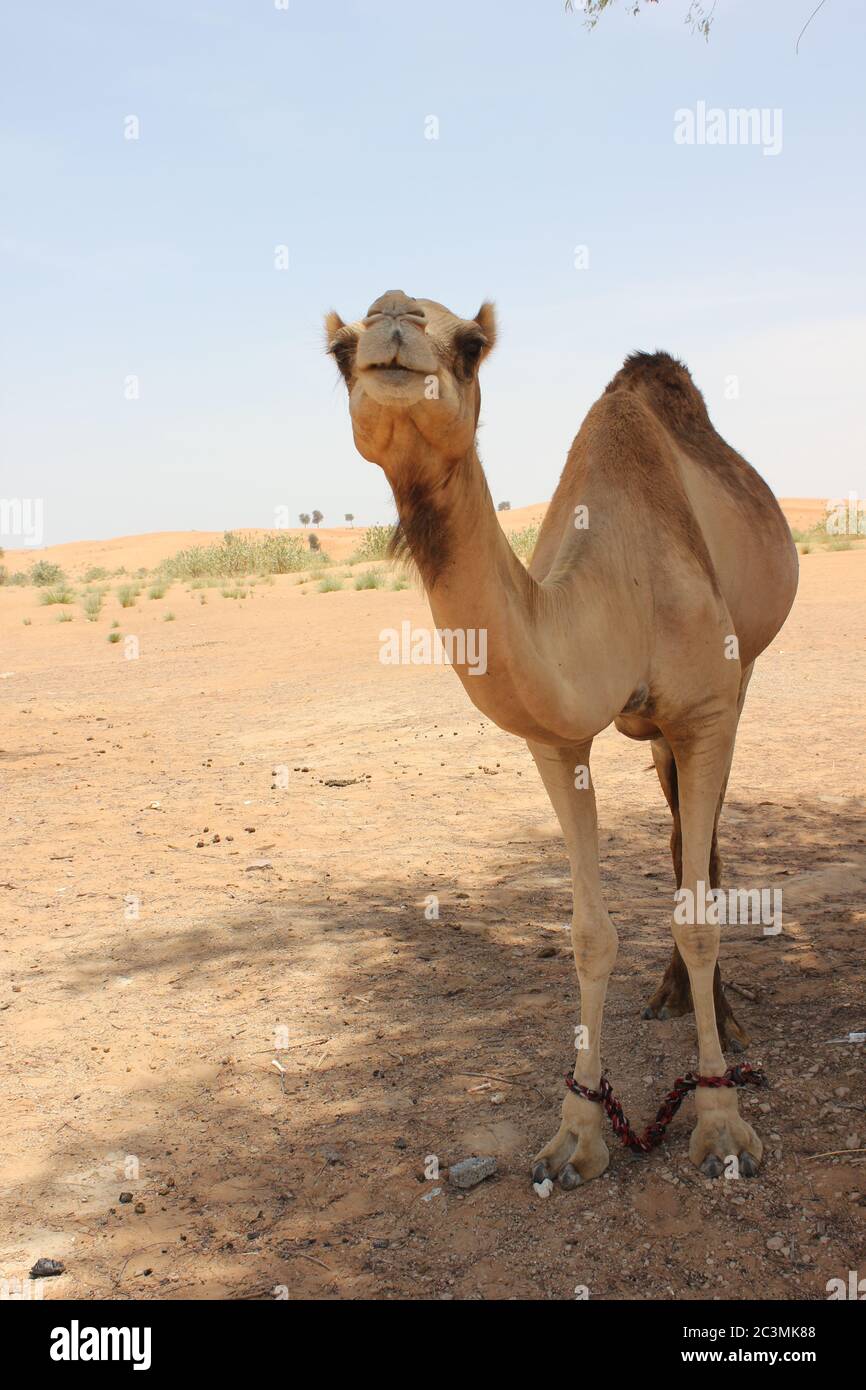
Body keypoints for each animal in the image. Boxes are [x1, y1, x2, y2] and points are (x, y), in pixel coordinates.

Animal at [325, 290, 798, 1187]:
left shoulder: (706, 709)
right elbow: (587, 934)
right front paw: (579, 1130)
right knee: (679, 829)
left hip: (743, 672)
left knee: (703, 842)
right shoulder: (557, 742)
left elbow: (697, 916)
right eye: (338, 351)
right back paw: (670, 997)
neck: (623, 584)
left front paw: (722, 1121)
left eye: (471, 344)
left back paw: (725, 1021)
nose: (395, 323)